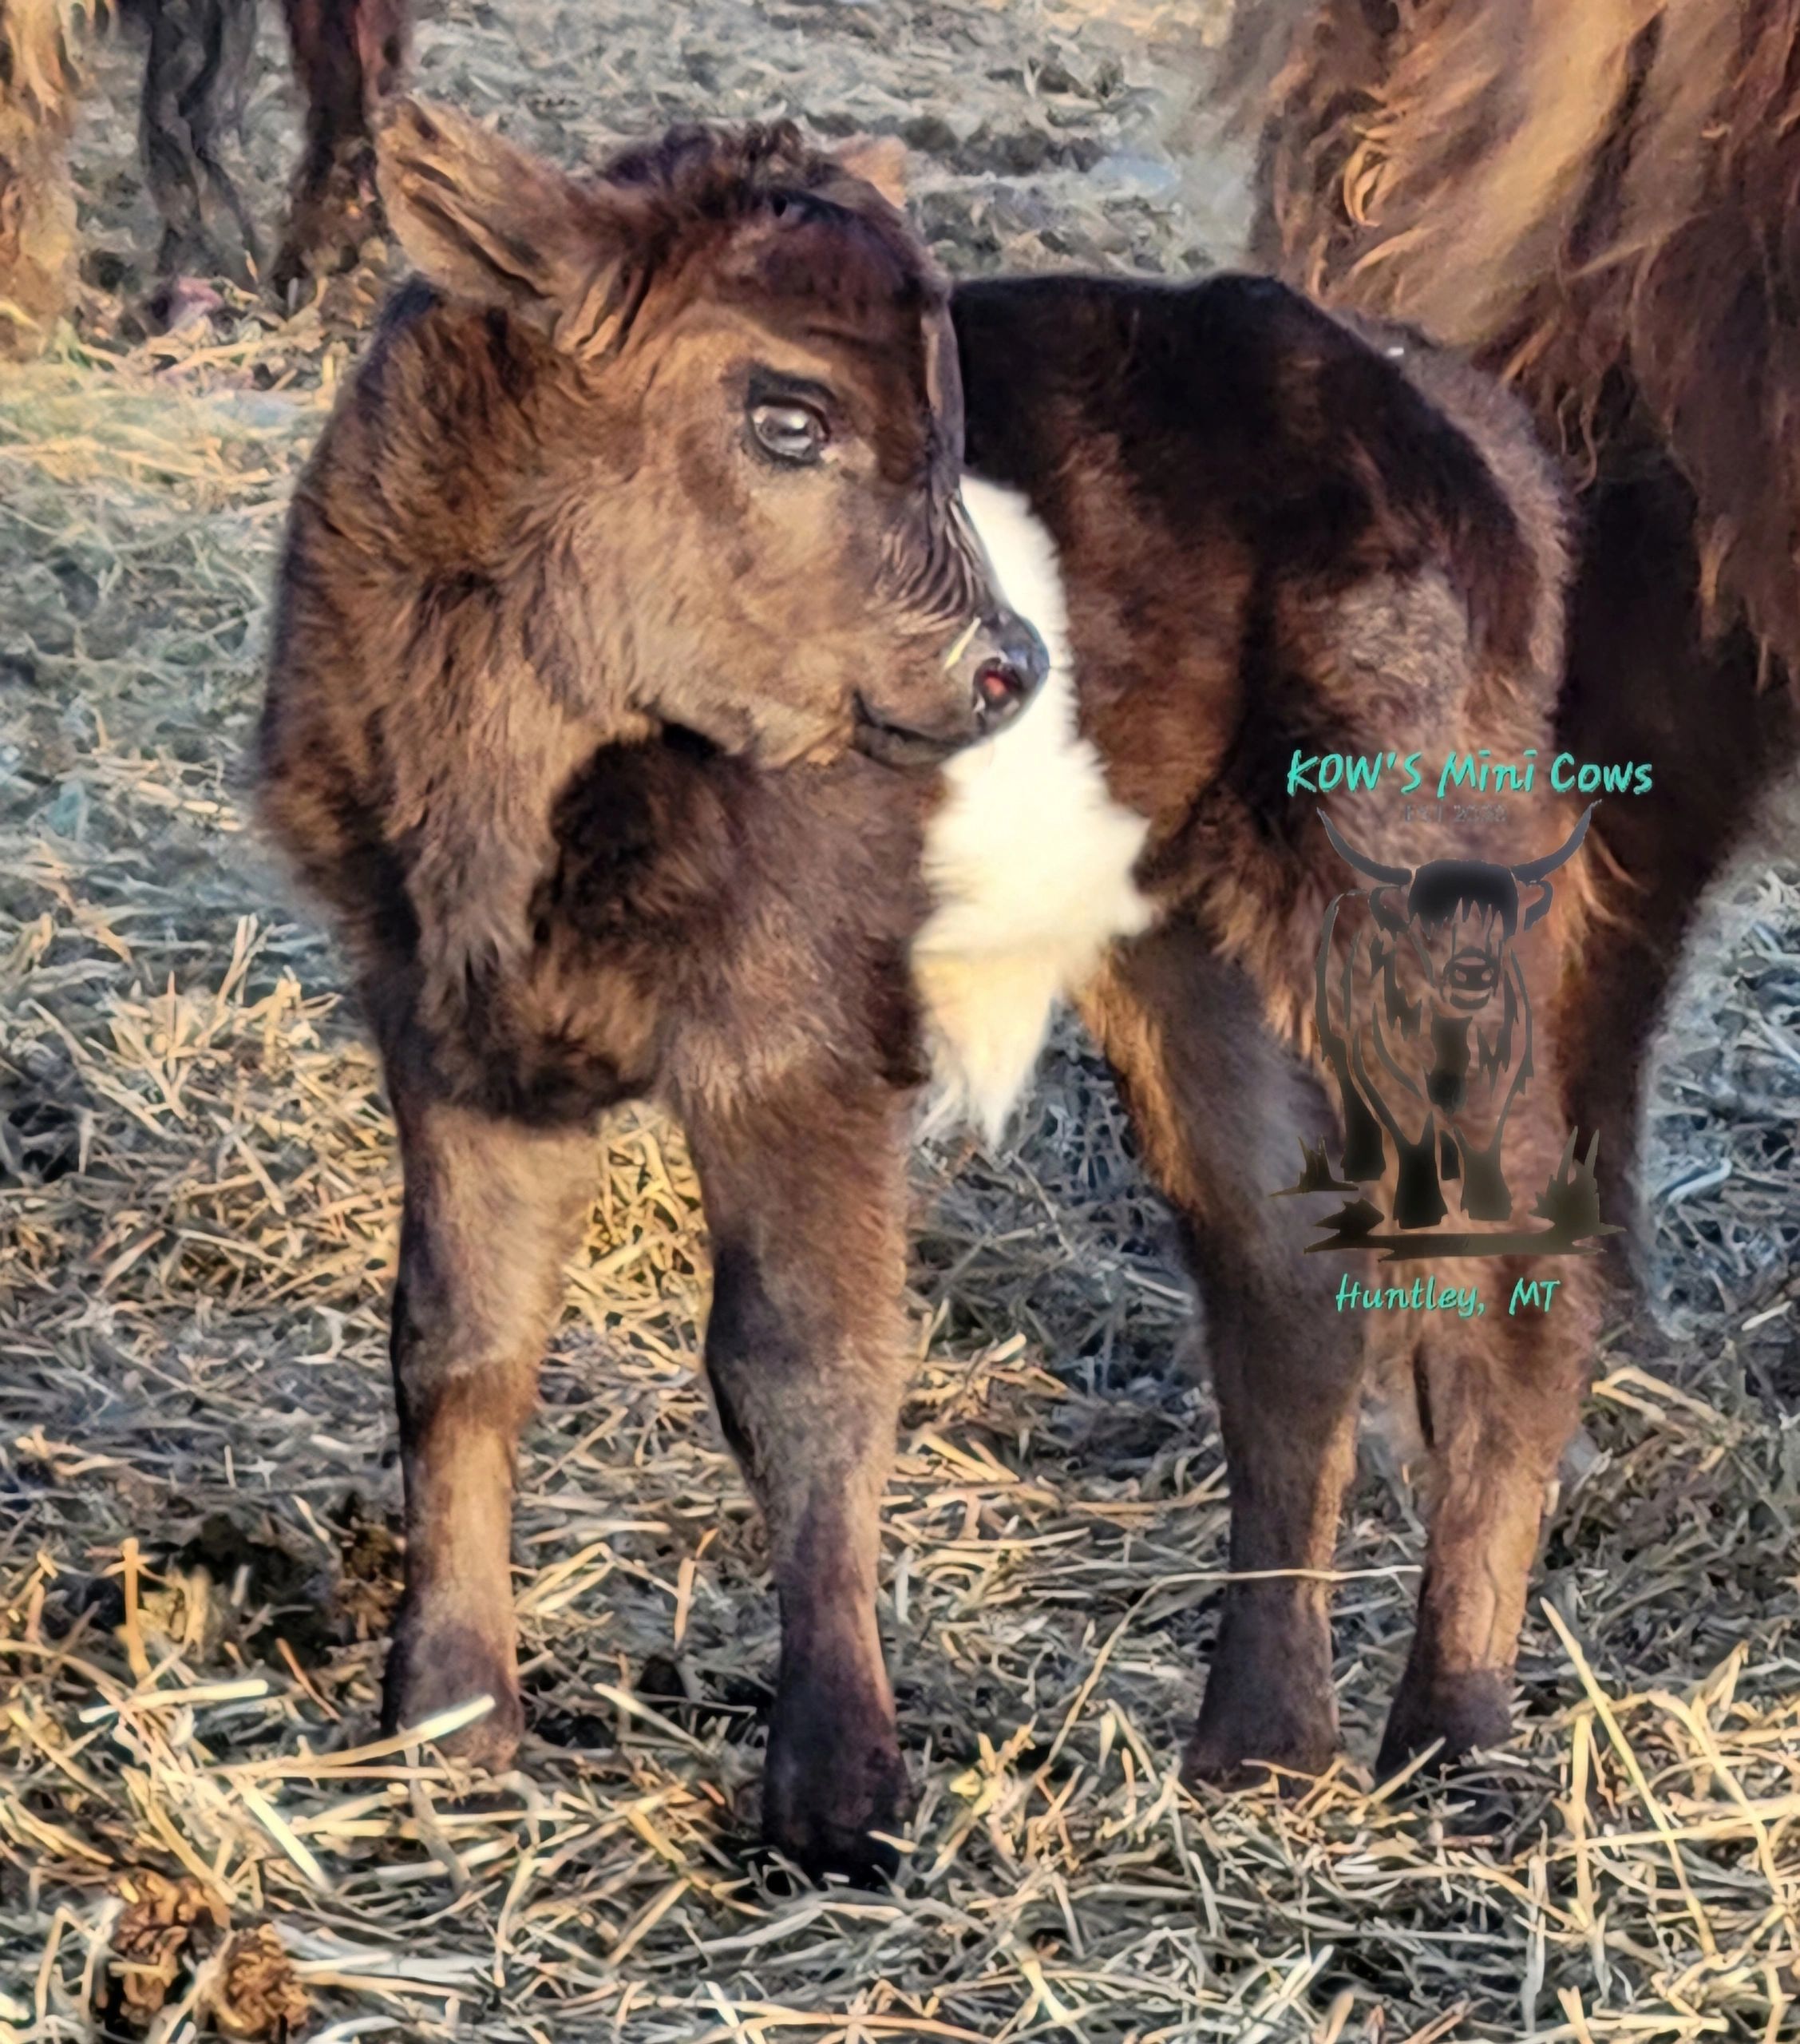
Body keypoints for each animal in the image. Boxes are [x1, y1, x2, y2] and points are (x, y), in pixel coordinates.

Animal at [258, 94, 1608, 1879]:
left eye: (946, 422)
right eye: (786, 415)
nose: (1007, 668)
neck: (521, 746)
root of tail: (1441, 395)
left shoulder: (794, 1030)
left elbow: (799, 1369)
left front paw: (838, 1792)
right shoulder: (444, 1020)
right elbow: (456, 1350)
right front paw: (445, 1726)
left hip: (1420, 880)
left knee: (1503, 1266)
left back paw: (1451, 1739)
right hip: (1182, 945)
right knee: (1279, 1285)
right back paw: (1261, 1747)